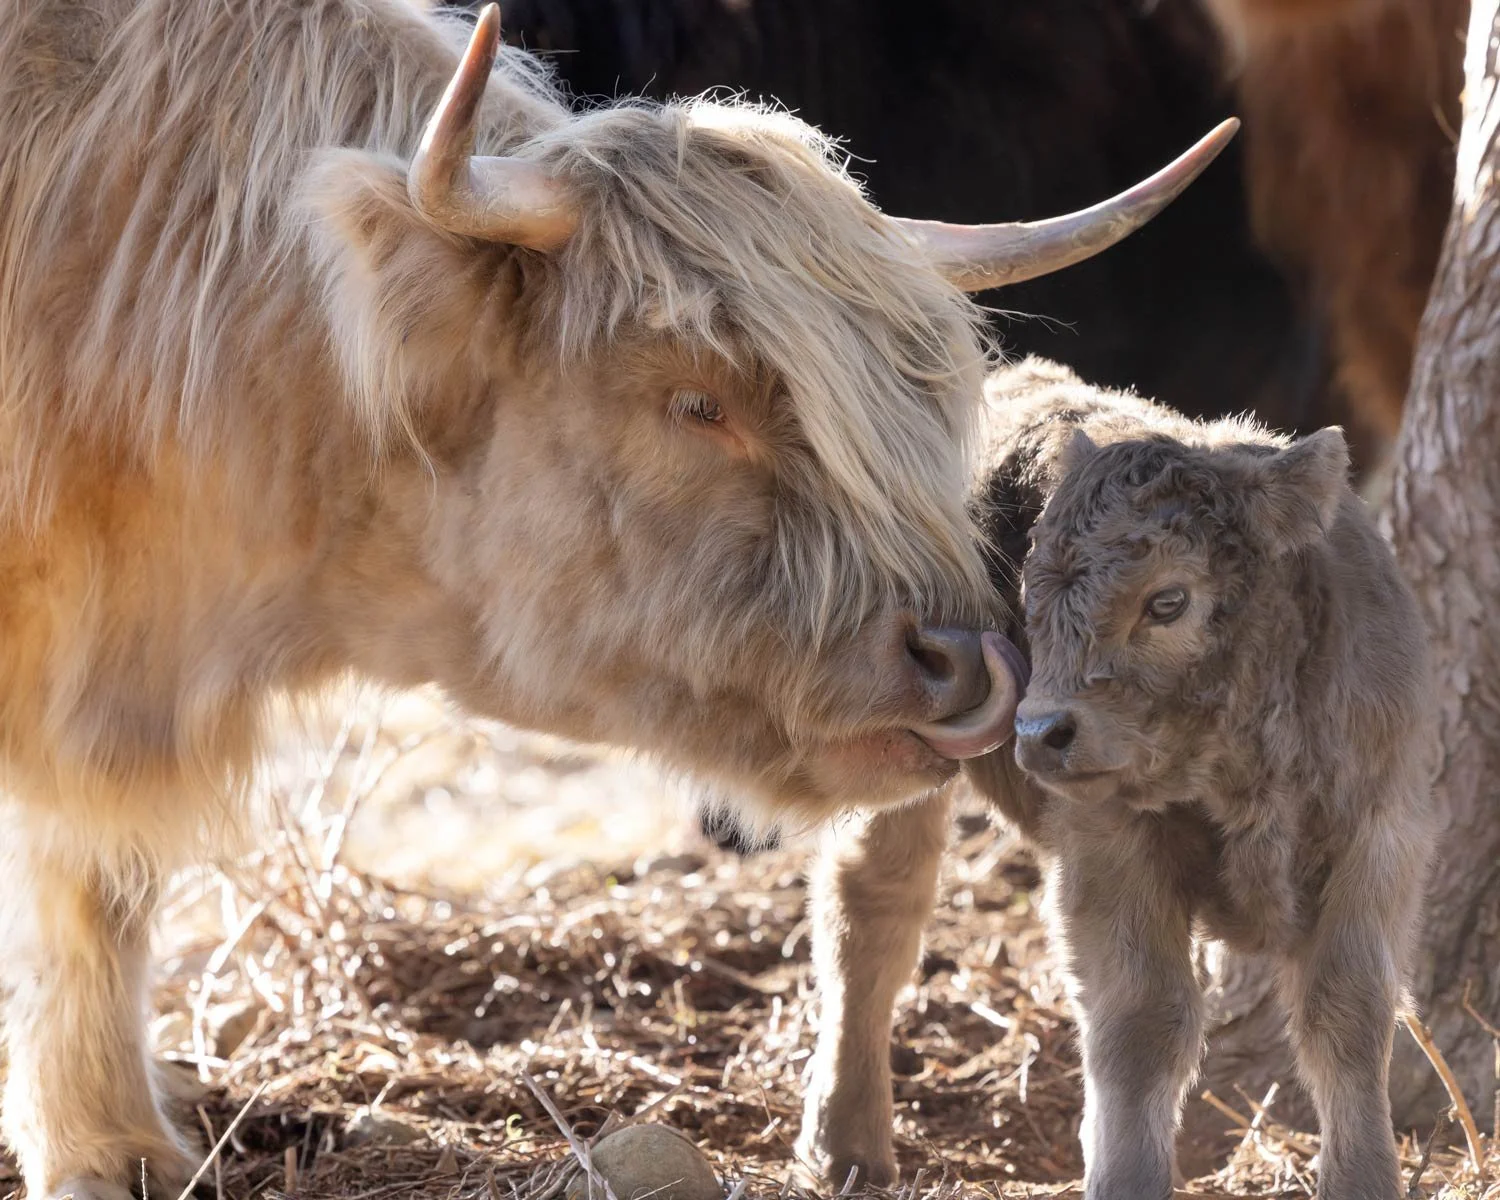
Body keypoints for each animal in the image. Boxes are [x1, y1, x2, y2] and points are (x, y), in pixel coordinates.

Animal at [799, 359, 1435, 1198]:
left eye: (1169, 600)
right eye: (1027, 592)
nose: (1040, 733)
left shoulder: (1377, 838)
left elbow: (1350, 1019)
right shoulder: (1110, 853)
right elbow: (1144, 1027)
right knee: (873, 908)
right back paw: (847, 1147)